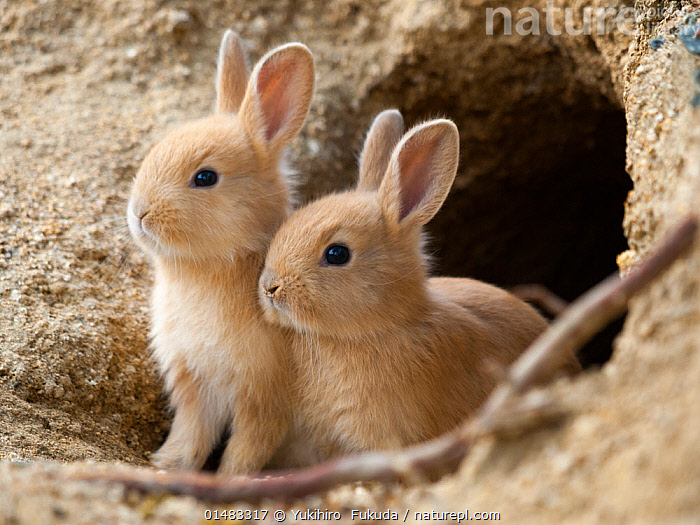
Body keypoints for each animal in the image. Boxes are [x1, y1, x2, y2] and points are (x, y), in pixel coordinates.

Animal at [126, 30, 315, 475]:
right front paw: (164, 465)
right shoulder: (195, 383)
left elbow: (246, 447)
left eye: (205, 177)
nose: (140, 212)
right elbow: (191, 434)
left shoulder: (264, 399)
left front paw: (231, 478)